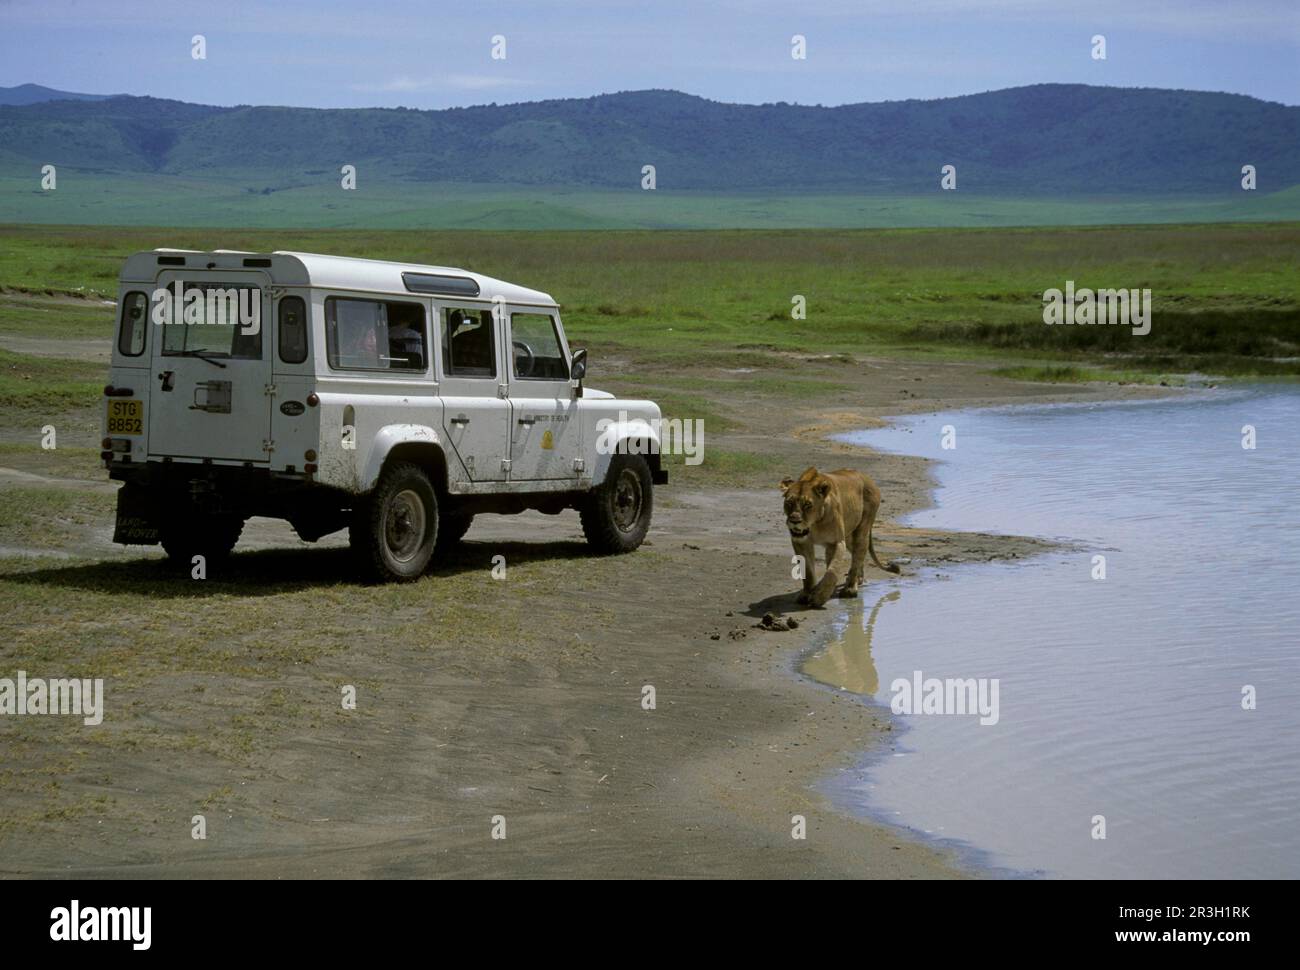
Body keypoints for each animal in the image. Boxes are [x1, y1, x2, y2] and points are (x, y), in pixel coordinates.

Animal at [780, 466, 900, 607]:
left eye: (808, 505)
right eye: (789, 503)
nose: (794, 520)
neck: (815, 523)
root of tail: (867, 478)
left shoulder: (836, 542)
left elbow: (832, 570)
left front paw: (819, 596)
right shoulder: (801, 542)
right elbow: (808, 571)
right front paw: (807, 594)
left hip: (861, 531)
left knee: (858, 555)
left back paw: (850, 588)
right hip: (848, 536)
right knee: (856, 555)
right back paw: (858, 578)